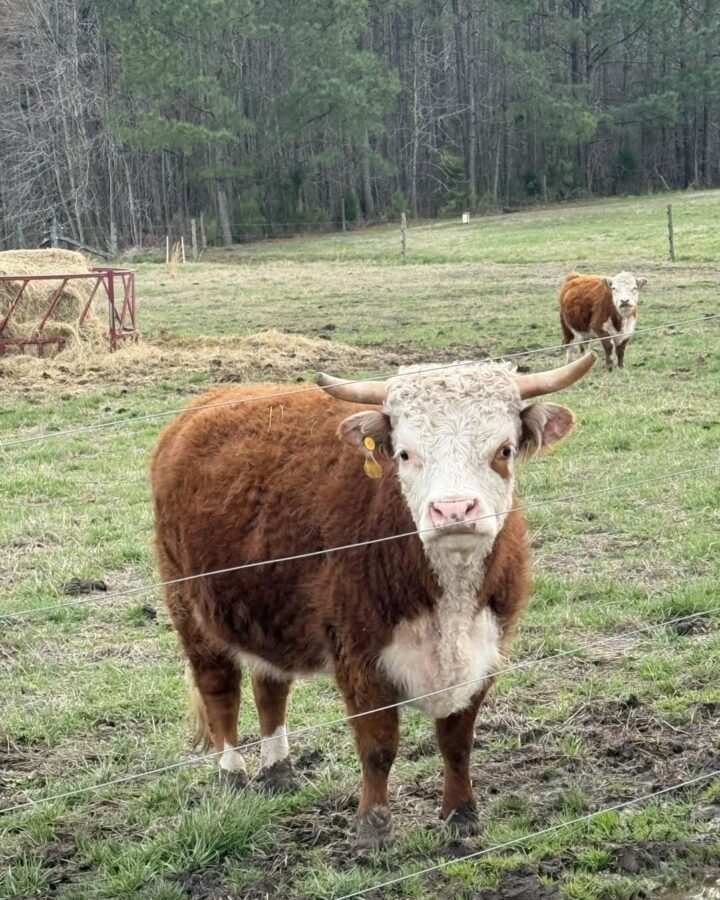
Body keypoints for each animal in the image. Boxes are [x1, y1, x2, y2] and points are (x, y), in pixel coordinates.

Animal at [150, 352, 596, 848]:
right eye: (405, 453)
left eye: (504, 450)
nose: (453, 511)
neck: (449, 602)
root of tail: (210, 401)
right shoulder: (359, 655)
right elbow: (378, 746)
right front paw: (373, 827)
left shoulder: (487, 647)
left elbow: (457, 740)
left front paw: (461, 814)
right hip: (188, 604)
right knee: (219, 689)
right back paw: (233, 774)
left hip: (266, 608)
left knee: (271, 686)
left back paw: (279, 771)